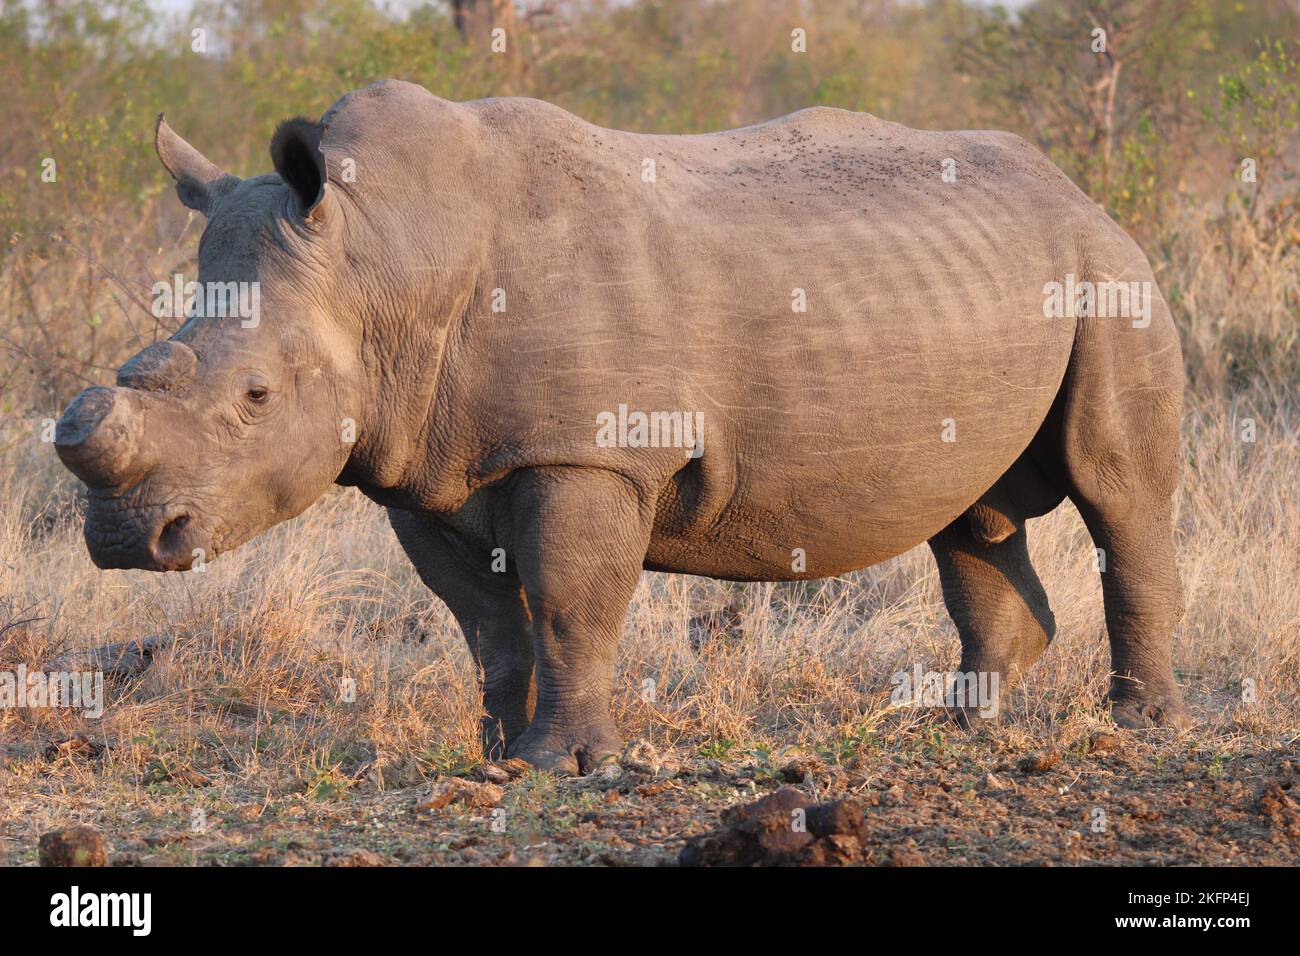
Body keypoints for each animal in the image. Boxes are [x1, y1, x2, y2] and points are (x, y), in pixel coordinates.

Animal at [55, 80, 1186, 773]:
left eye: (254, 397)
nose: (125, 537)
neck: (384, 259)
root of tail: (1080, 190)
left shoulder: (587, 450)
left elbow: (567, 601)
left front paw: (566, 766)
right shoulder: (421, 464)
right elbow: (487, 622)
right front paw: (498, 755)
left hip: (1110, 275)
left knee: (1117, 491)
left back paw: (1140, 725)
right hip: (982, 282)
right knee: (971, 514)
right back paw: (957, 725)